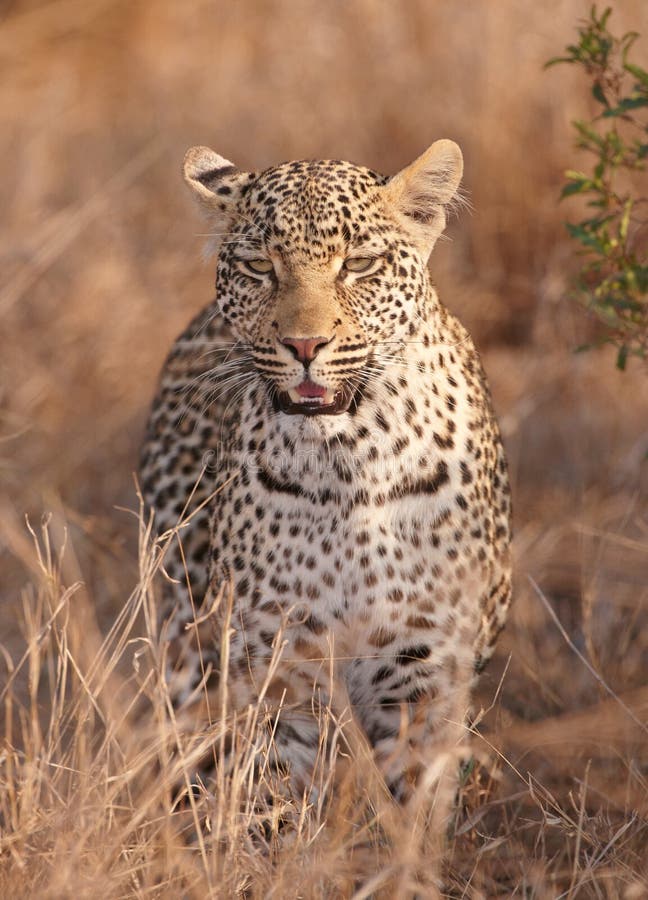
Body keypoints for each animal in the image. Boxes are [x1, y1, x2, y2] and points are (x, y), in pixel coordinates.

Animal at [139, 140, 512, 843]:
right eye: (260, 267)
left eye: (359, 264)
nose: (305, 345)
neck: (348, 462)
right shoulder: (281, 668)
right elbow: (283, 800)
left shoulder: (423, 668)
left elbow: (415, 806)